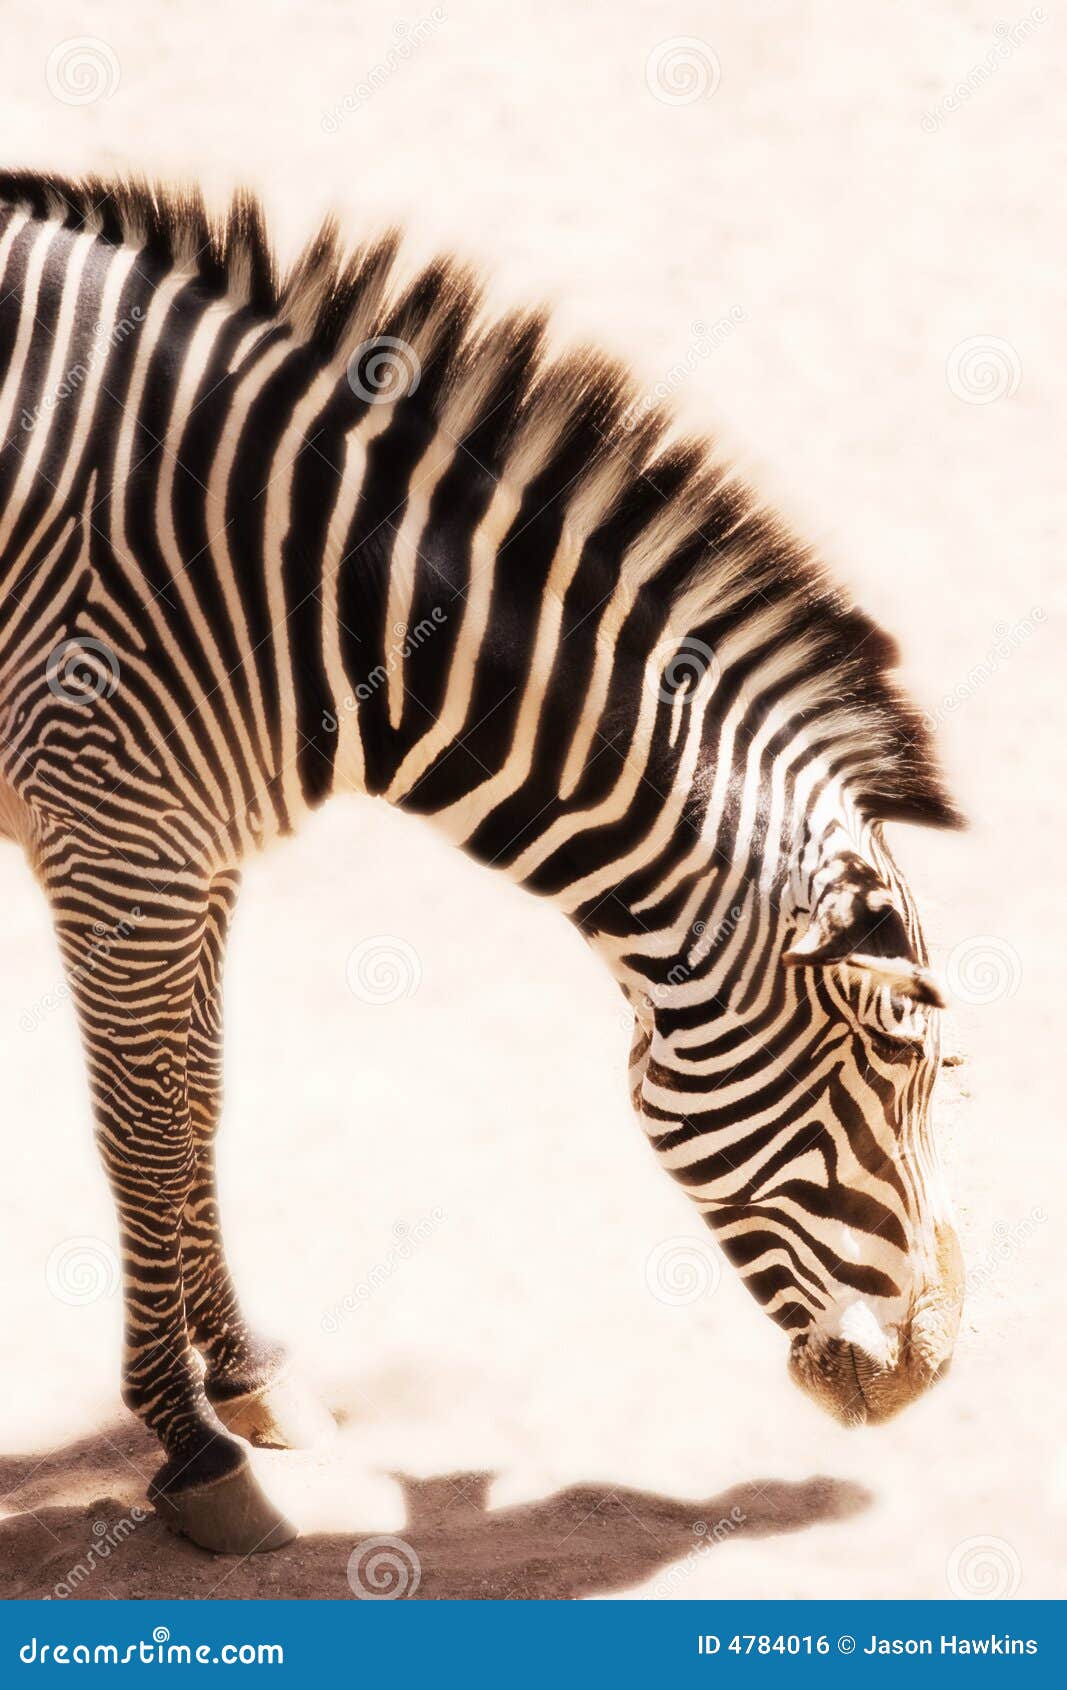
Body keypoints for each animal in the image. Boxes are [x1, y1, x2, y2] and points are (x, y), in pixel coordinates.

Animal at [0, 172, 964, 1556]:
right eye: (898, 1058)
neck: (301, 582)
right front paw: (191, 1446)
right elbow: (142, 1134)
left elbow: (198, 1102)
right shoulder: (115, 841)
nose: (927, 1370)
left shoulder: (192, 846)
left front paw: (248, 1375)